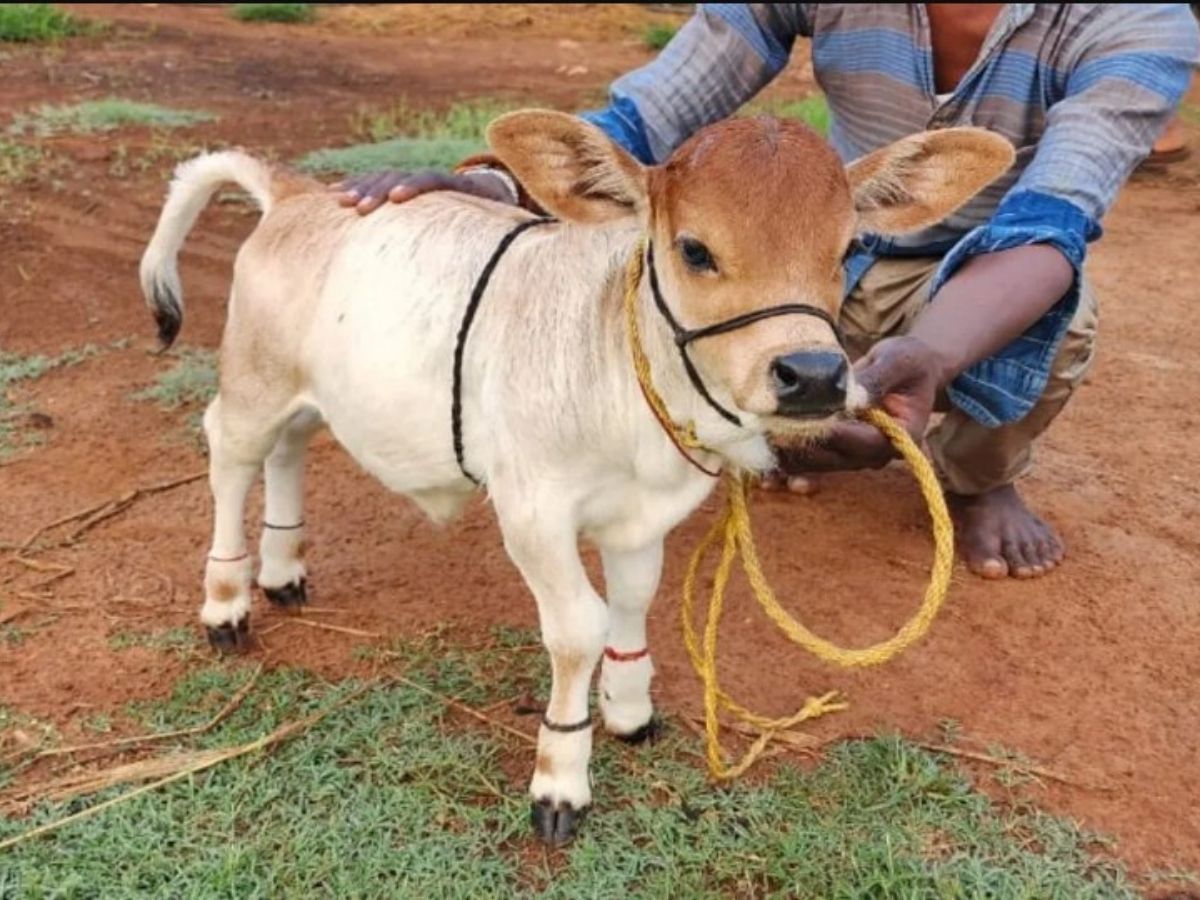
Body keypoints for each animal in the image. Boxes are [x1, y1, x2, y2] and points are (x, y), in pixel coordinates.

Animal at [139, 110, 1012, 844]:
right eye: (696, 249)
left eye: (847, 251)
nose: (813, 376)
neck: (624, 388)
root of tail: (298, 194)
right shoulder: (533, 513)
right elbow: (578, 629)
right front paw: (561, 776)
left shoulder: (647, 515)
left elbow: (632, 602)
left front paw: (628, 708)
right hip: (253, 384)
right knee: (231, 456)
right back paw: (228, 601)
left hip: (308, 396)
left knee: (289, 452)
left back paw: (284, 569)